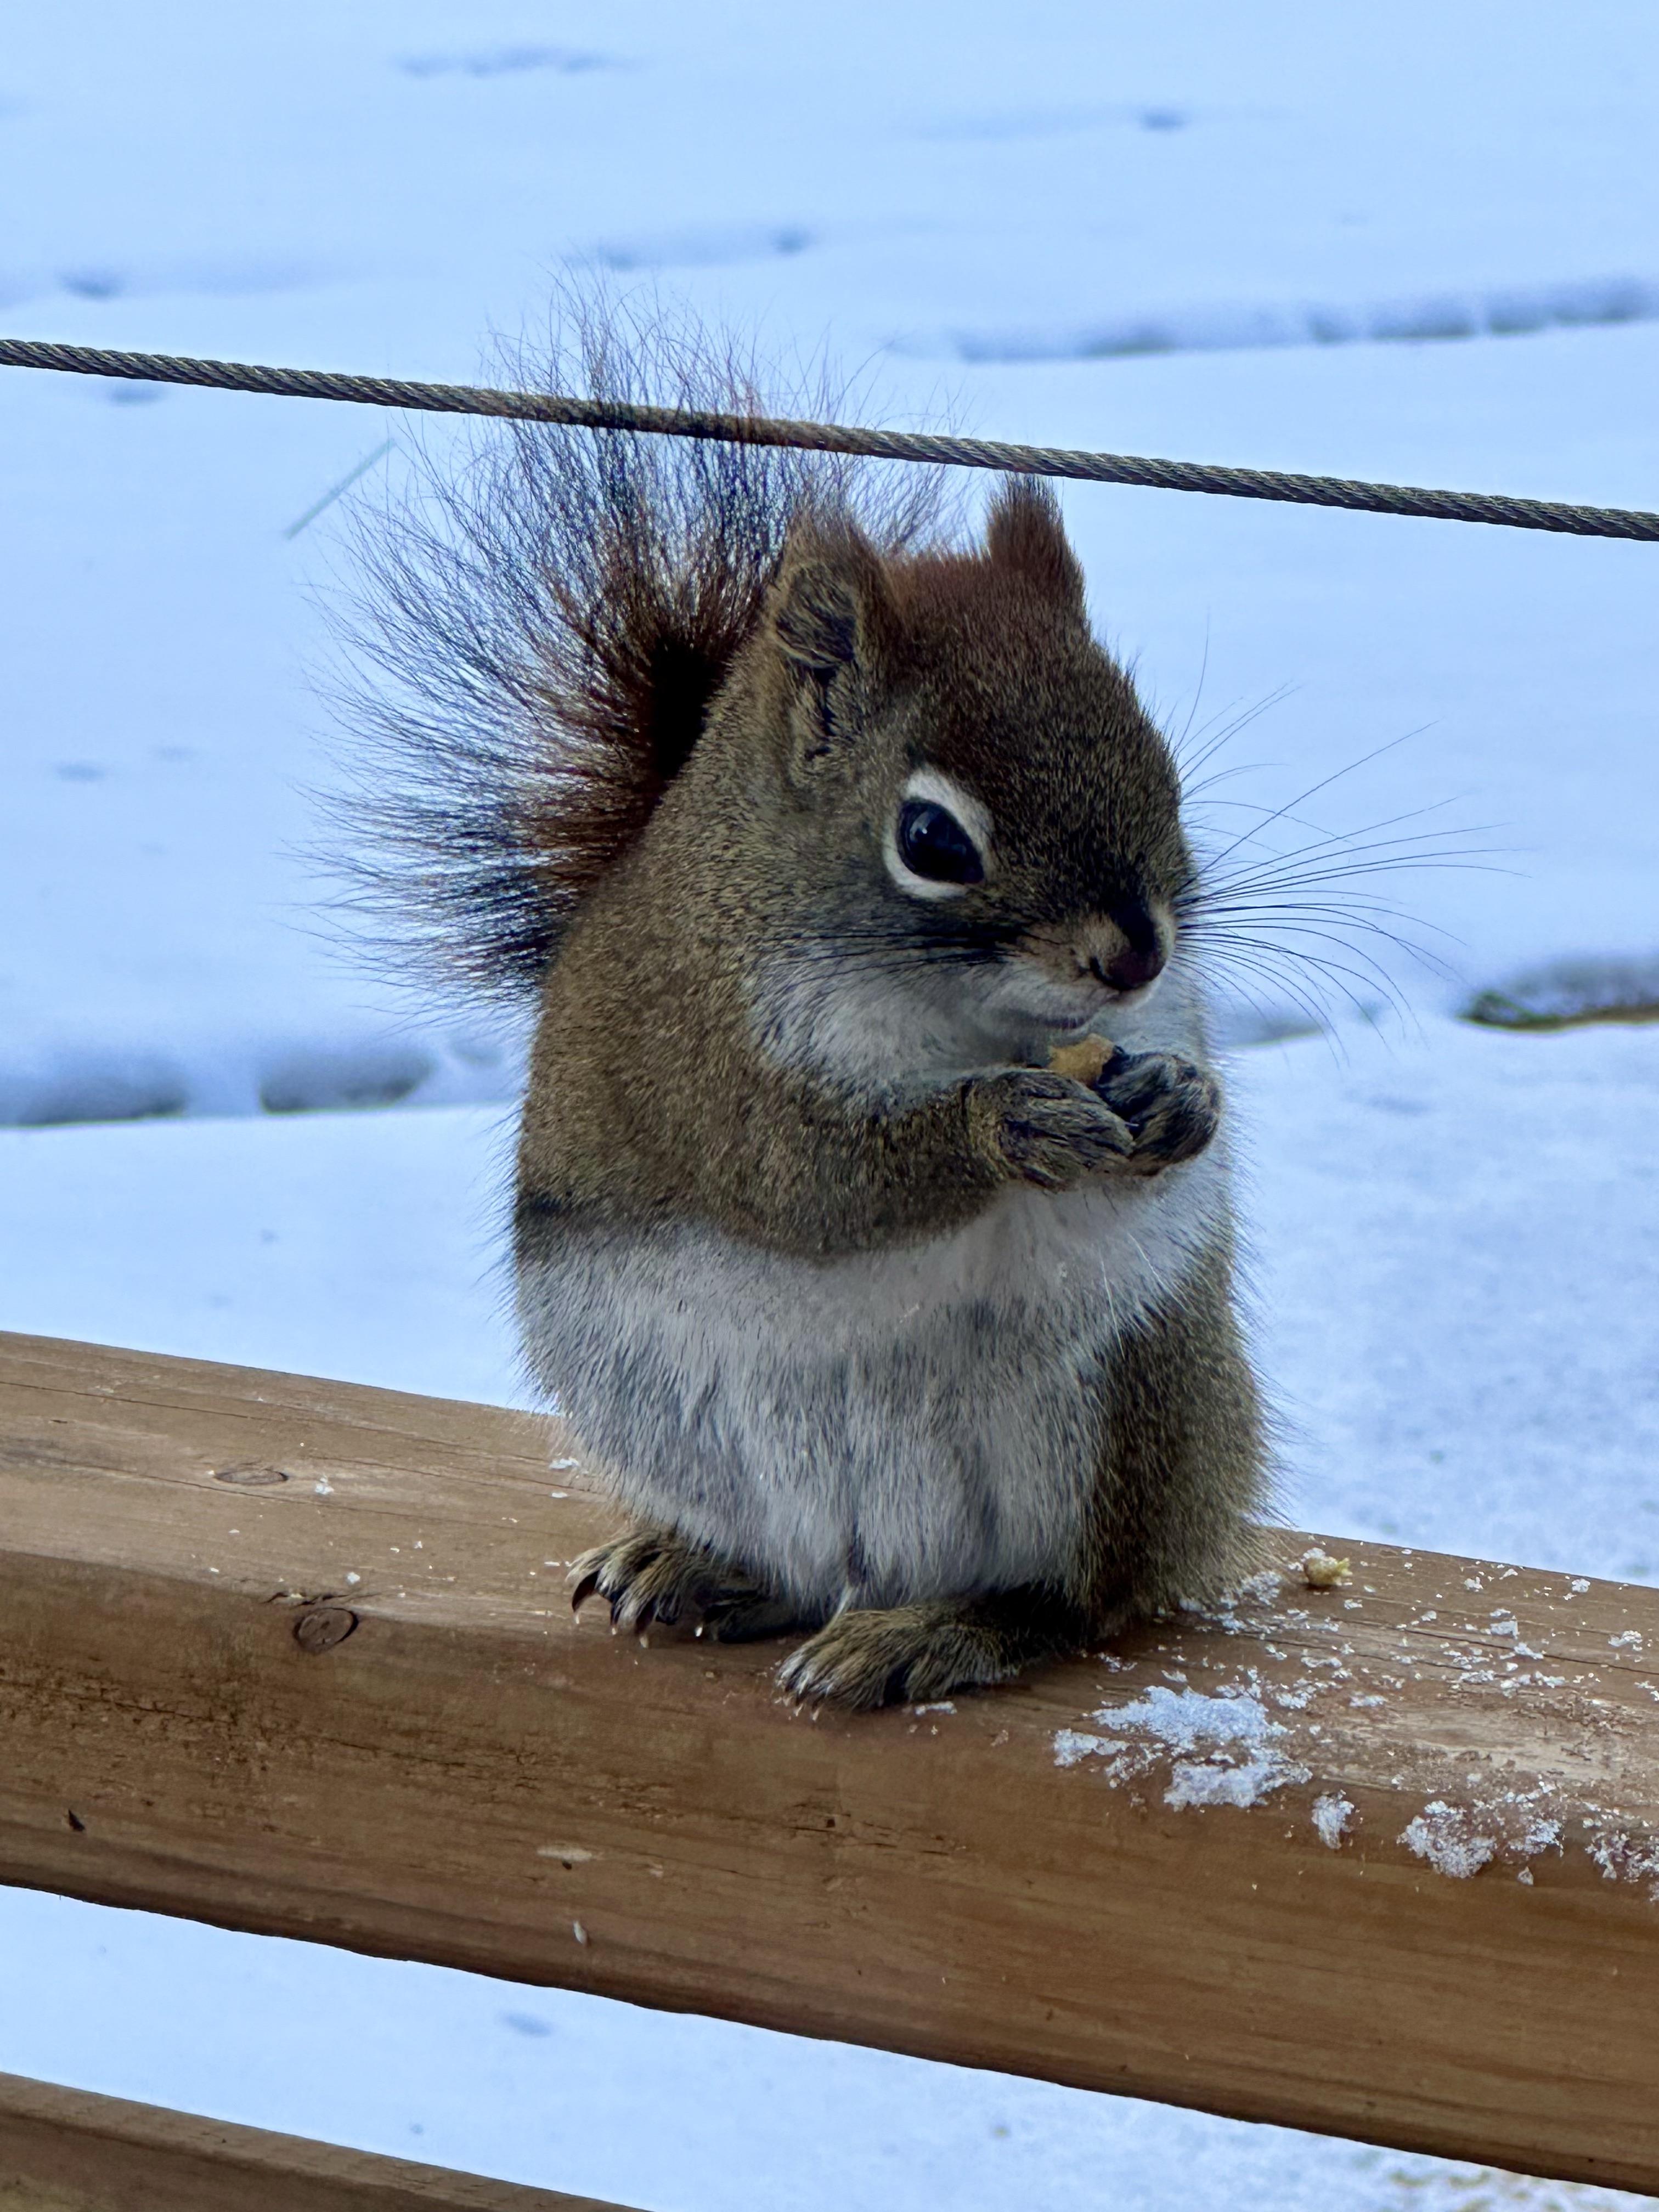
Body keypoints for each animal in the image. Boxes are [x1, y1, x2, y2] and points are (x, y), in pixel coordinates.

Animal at [341, 298, 1269, 1709]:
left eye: (1155, 762)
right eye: (933, 840)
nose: (1134, 958)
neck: (968, 1018)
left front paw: (1180, 1099)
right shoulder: (705, 1058)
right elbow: (812, 1181)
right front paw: (1003, 1128)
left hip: (1118, 1411)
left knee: (1074, 1599)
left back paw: (942, 1624)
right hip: (677, 1416)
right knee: (806, 1562)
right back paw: (709, 1571)